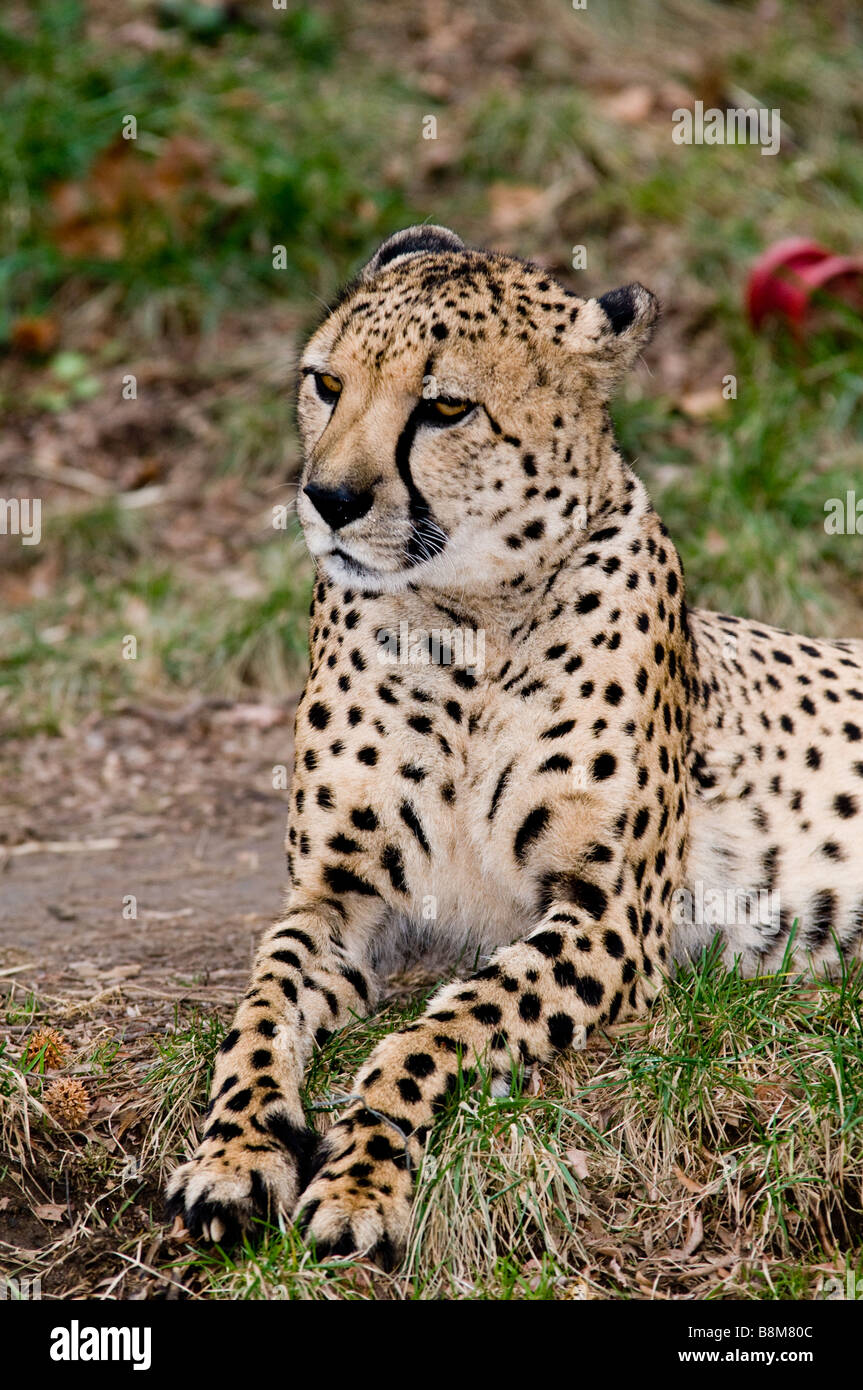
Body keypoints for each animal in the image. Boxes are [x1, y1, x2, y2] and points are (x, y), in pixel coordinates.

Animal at [166, 225, 863, 1267]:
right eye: (326, 383)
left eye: (445, 407)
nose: (326, 498)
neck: (464, 620)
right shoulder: (335, 899)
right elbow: (258, 1014)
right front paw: (236, 1153)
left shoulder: (609, 917)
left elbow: (443, 1026)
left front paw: (362, 1176)